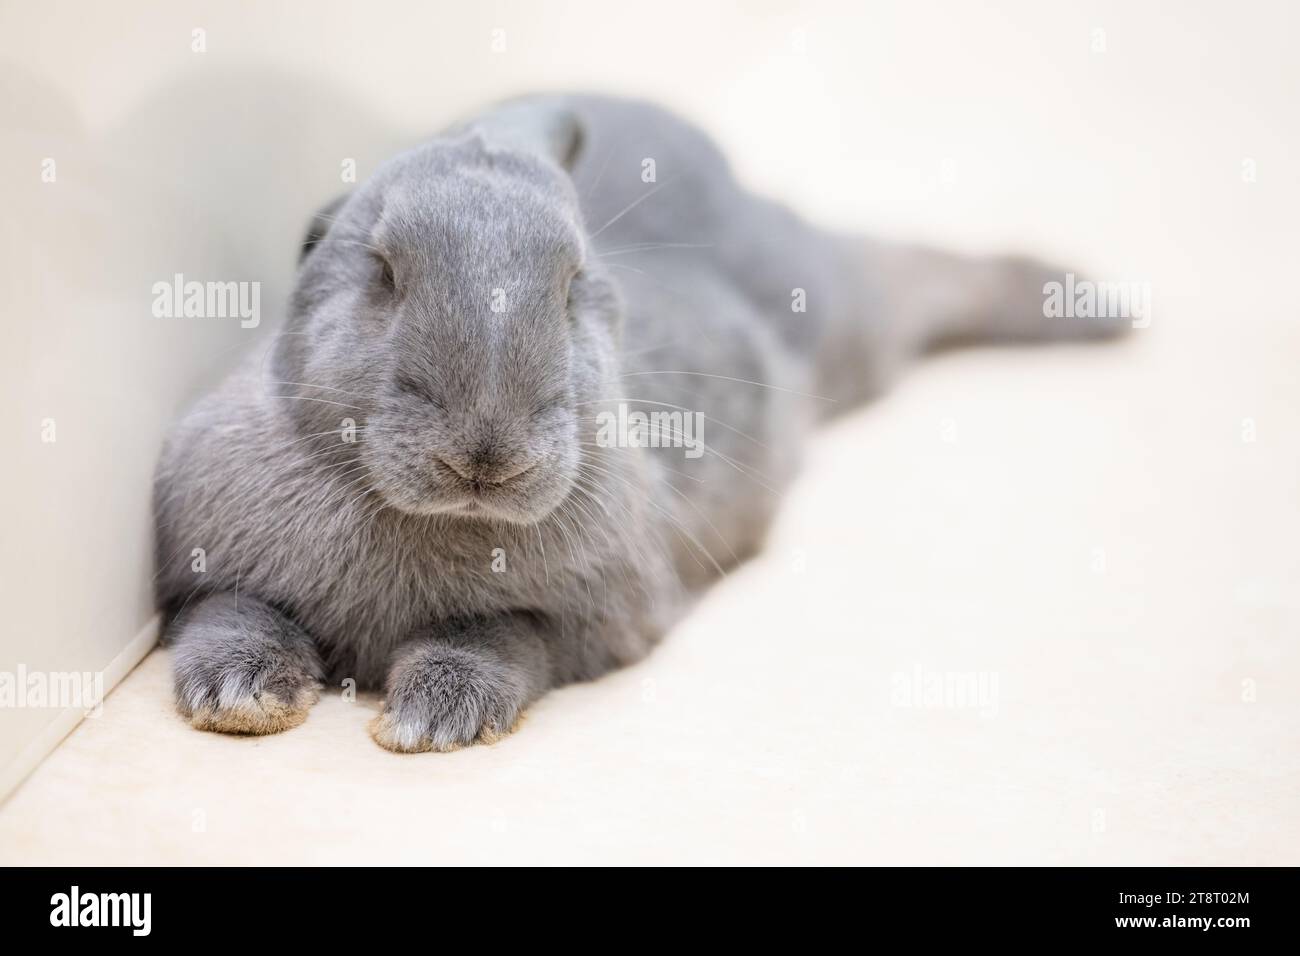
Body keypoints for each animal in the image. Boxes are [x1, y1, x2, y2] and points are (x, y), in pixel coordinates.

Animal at [154, 93, 1128, 749]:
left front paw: (432, 719)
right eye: (382, 273)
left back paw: (1085, 304)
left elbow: (505, 635)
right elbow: (231, 613)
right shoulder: (208, 575)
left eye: (576, 282)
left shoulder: (594, 621)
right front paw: (241, 699)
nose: (486, 453)